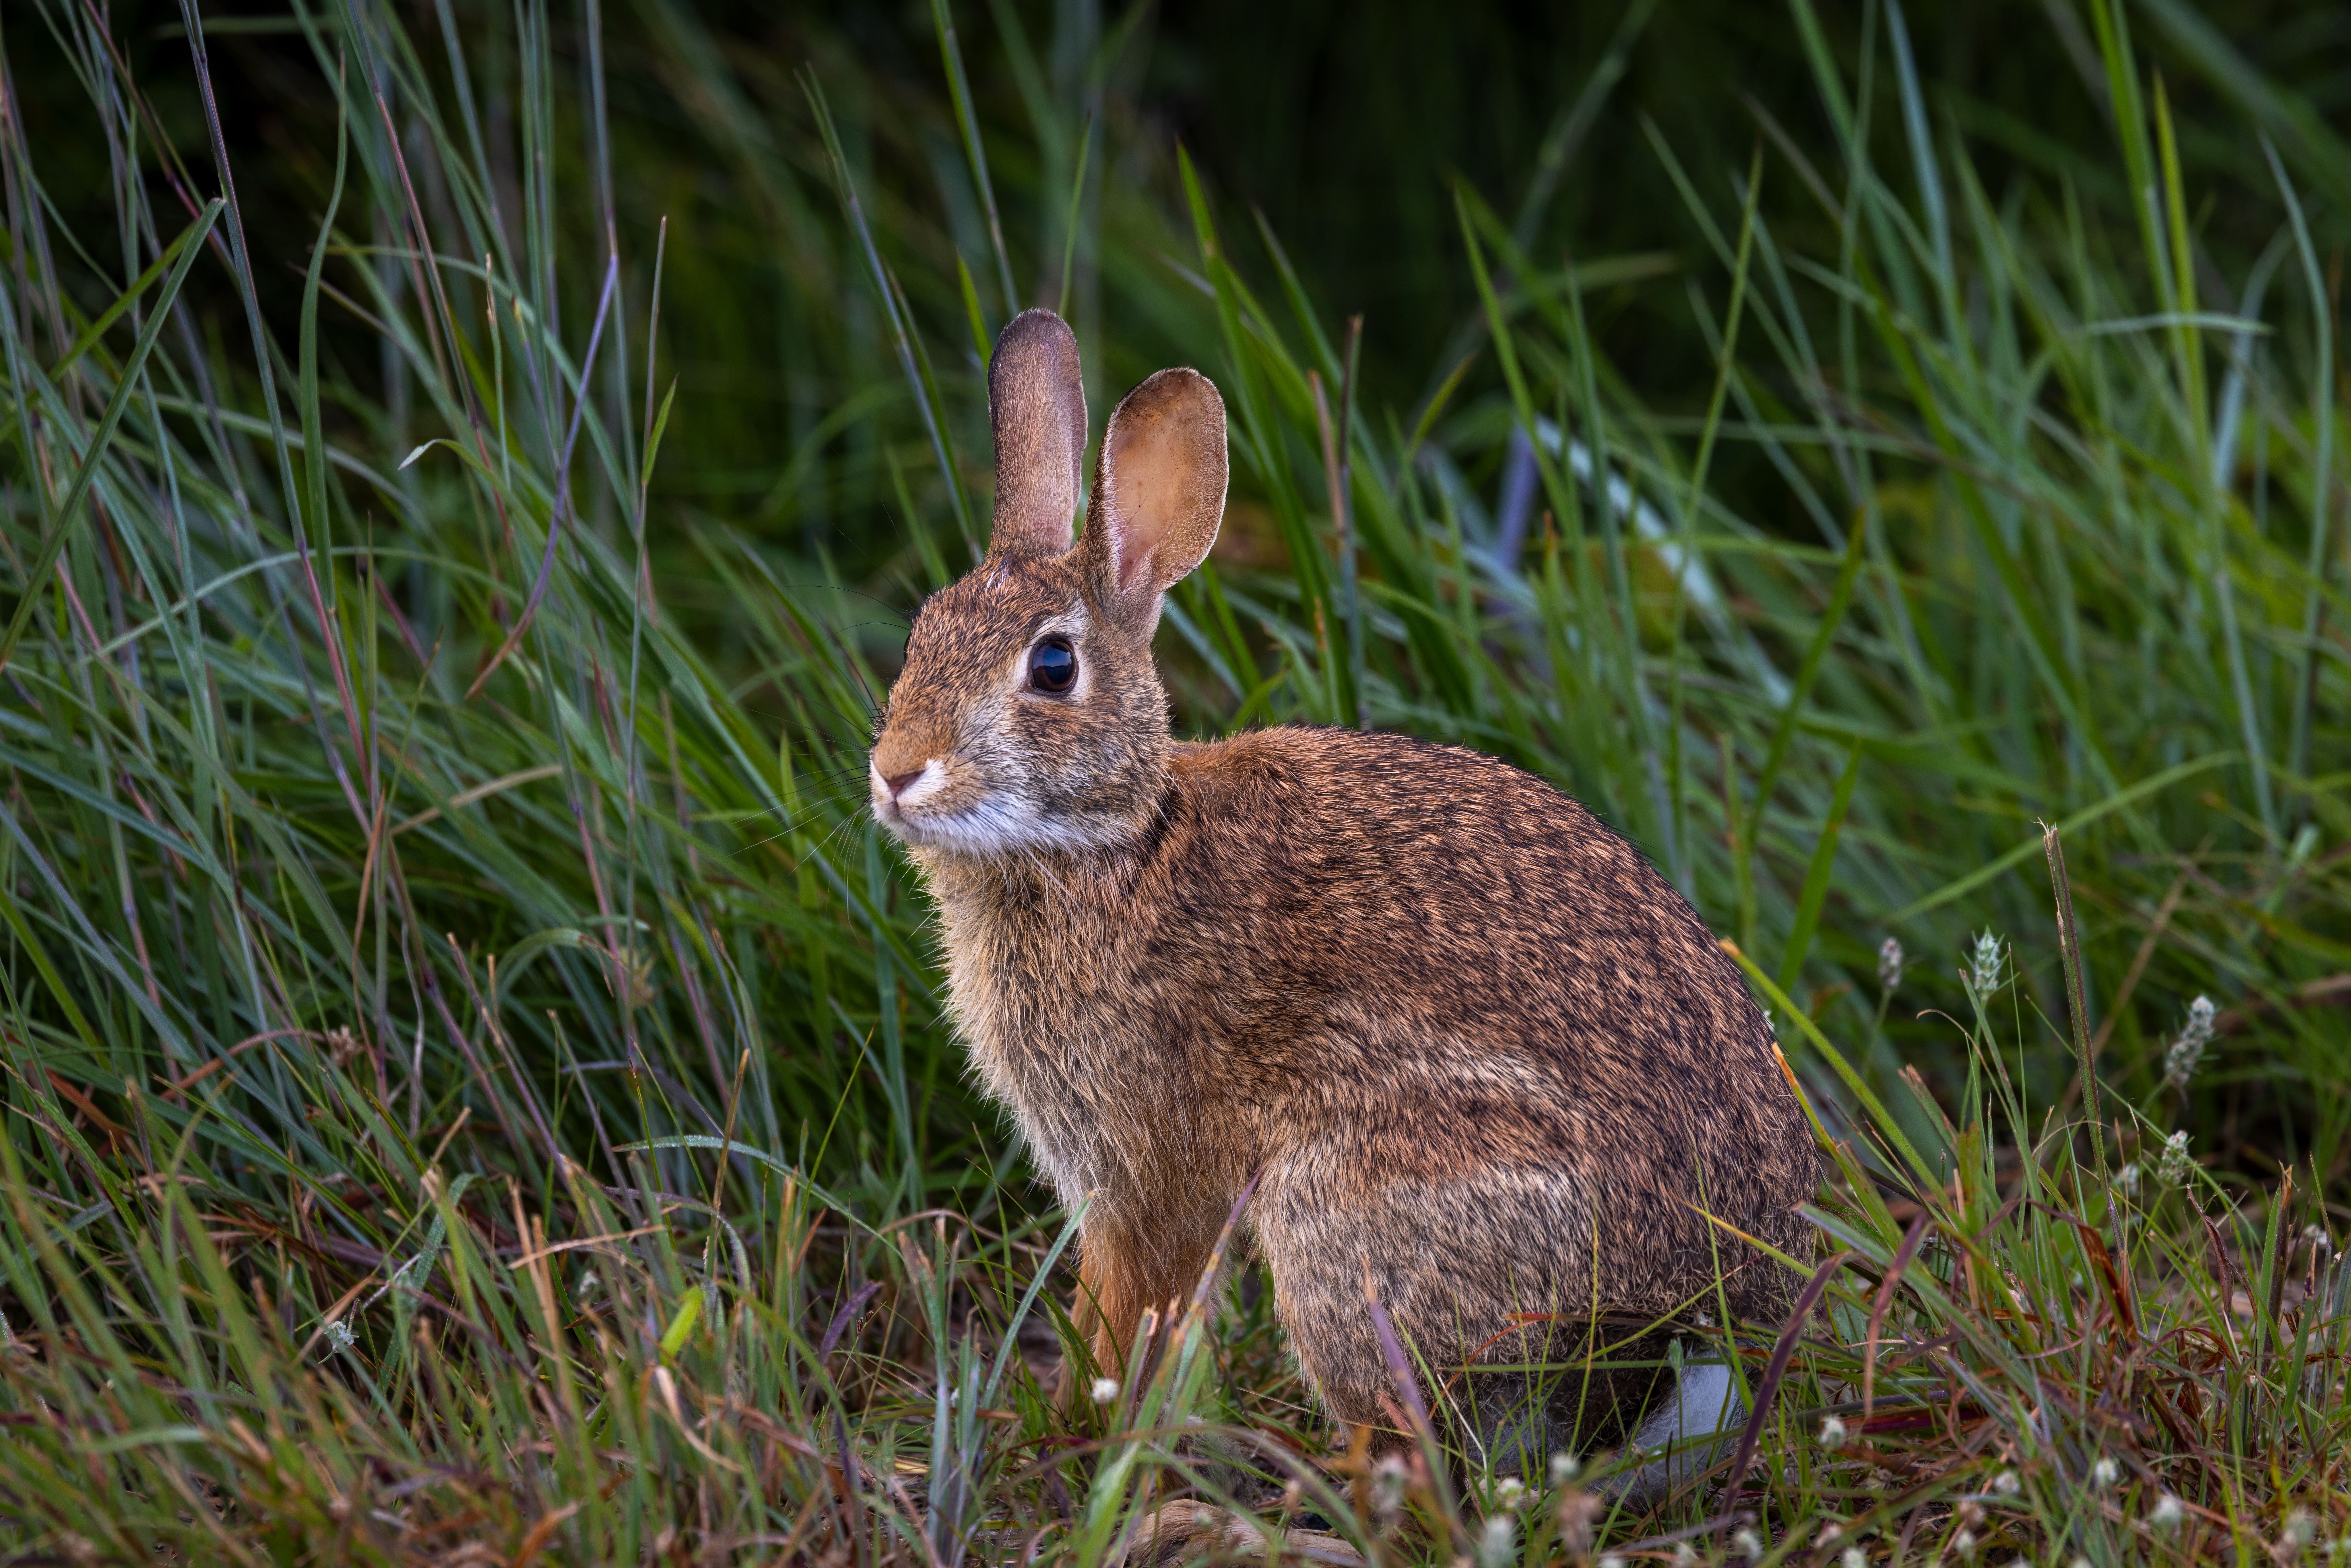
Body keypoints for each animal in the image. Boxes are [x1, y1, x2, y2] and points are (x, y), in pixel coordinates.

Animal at [868, 307, 1819, 1475]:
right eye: (921, 631)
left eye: (1051, 668)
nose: (896, 772)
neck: (1117, 841)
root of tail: (1688, 1356)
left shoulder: (1150, 1165)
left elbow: (1132, 1302)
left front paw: (1086, 1428)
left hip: (1355, 1215)